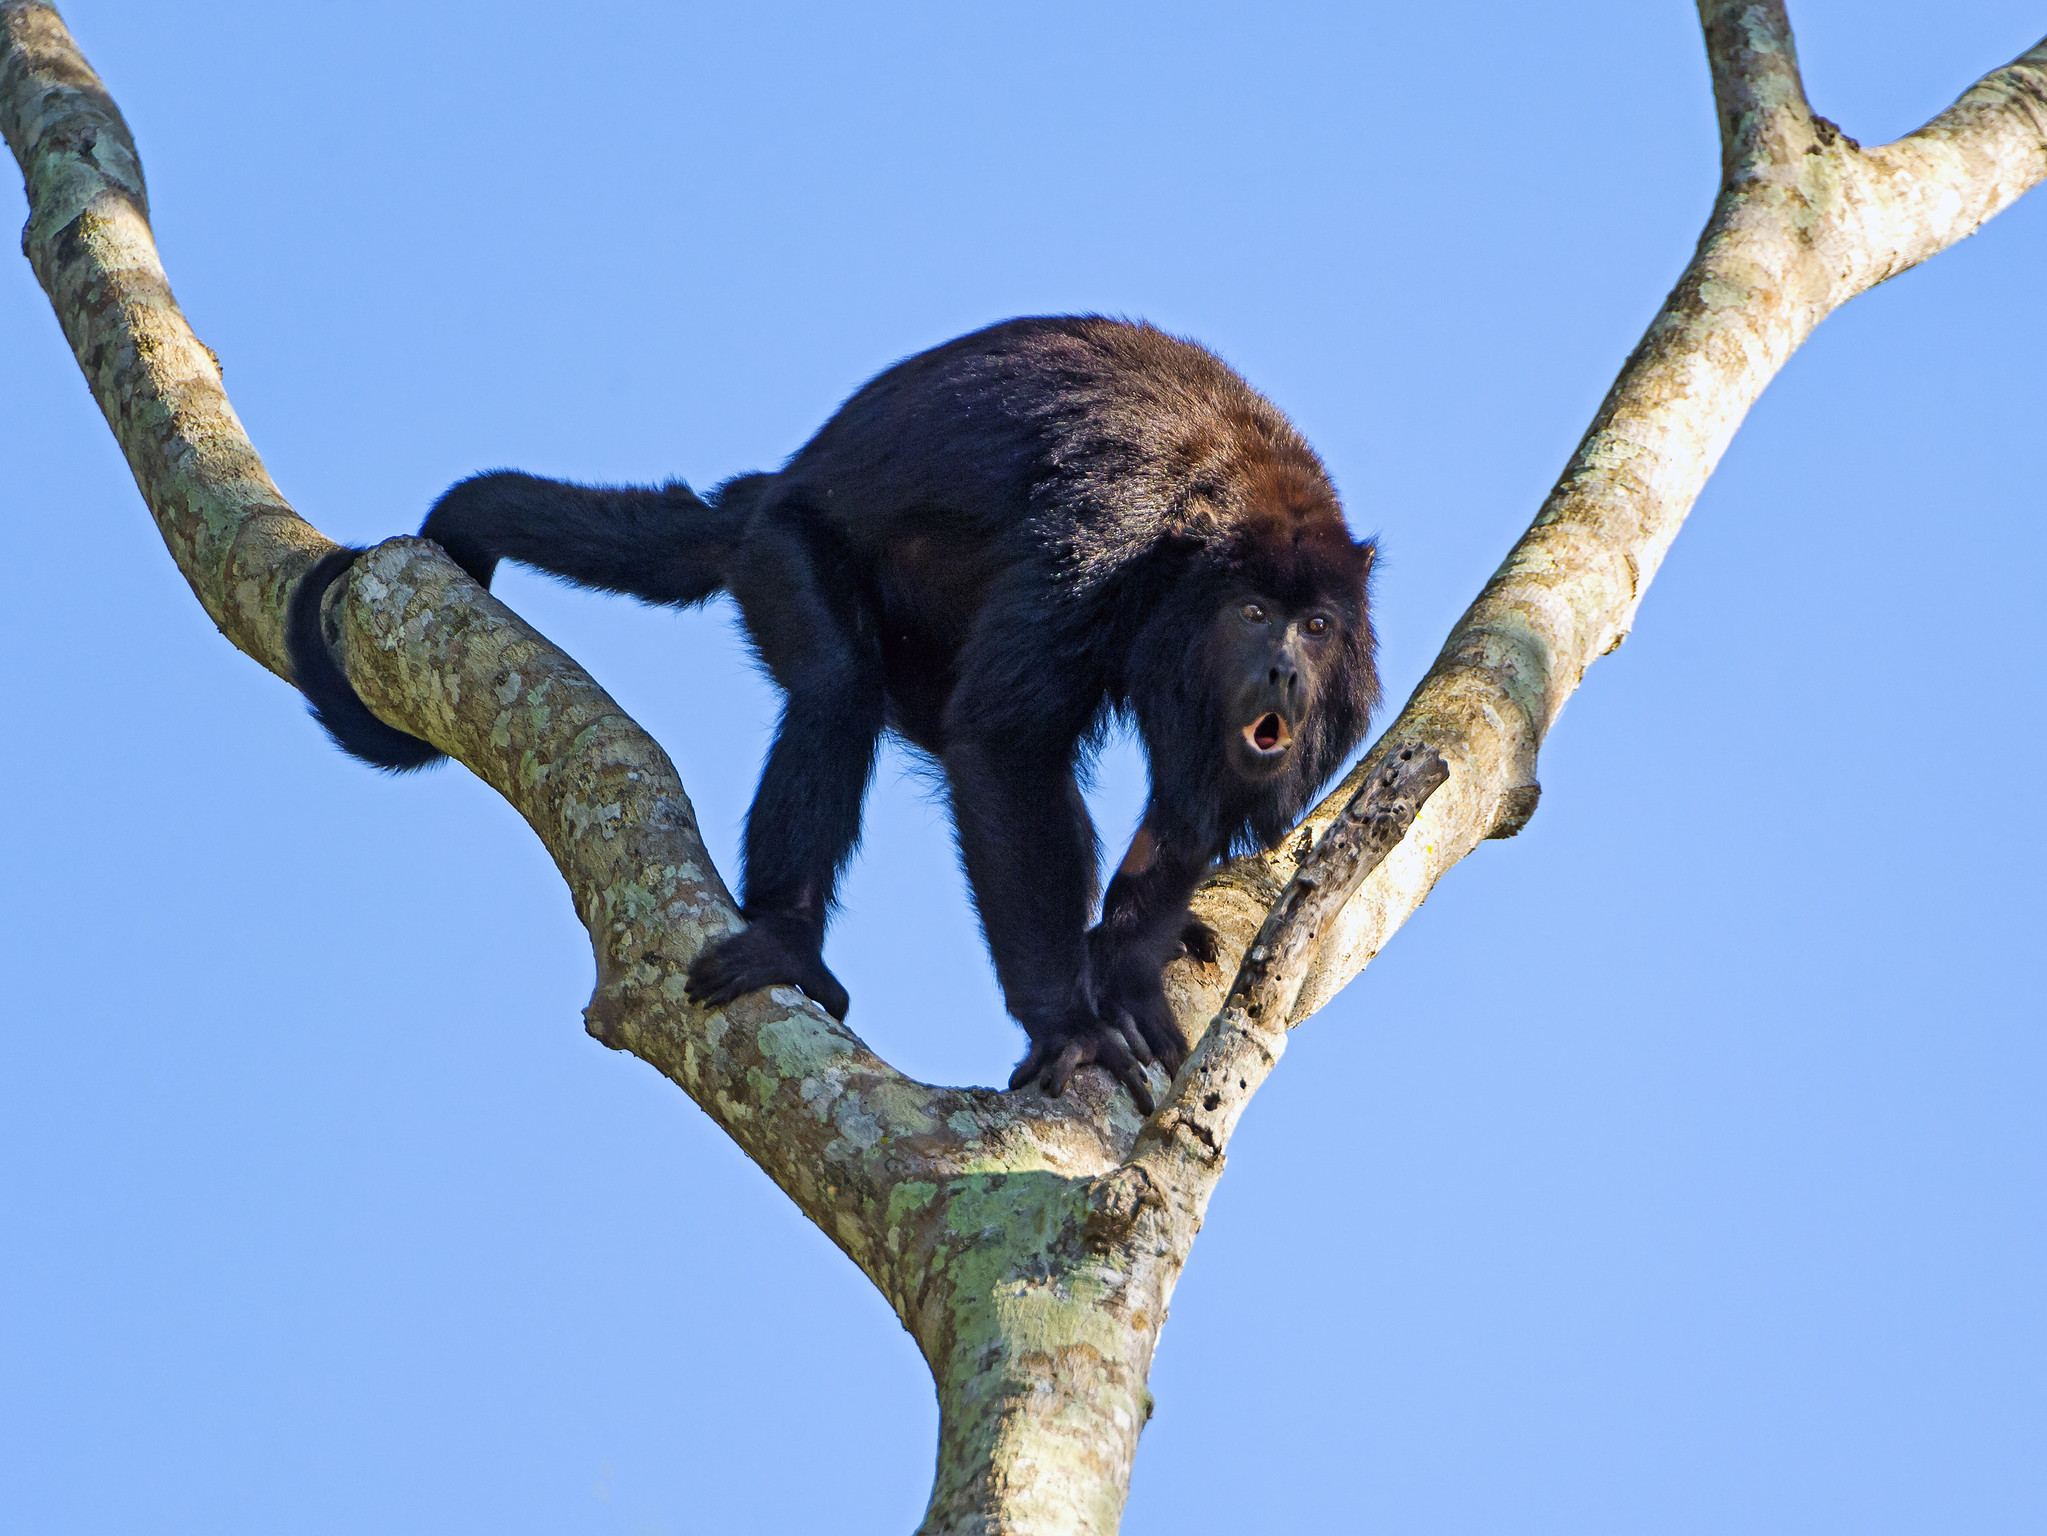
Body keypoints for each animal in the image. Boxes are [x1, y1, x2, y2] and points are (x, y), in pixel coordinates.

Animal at [288, 316, 1379, 1113]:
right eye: (1252, 615)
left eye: (1317, 625)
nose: (1282, 672)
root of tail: (771, 482)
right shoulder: (1105, 546)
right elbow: (1001, 747)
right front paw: (1067, 1029)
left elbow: (1185, 816)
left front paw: (1129, 972)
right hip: (783, 550)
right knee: (840, 692)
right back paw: (786, 935)